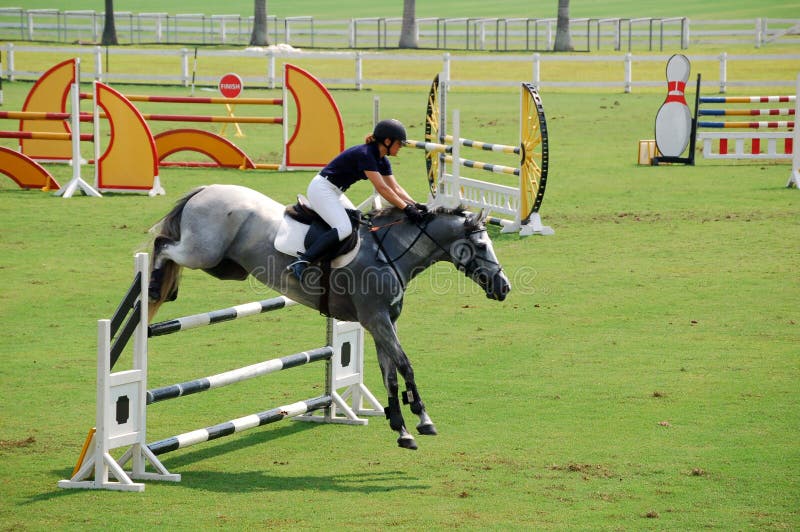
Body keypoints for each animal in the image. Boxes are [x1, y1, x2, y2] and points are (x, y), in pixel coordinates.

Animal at [147, 184, 511, 450]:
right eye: (481, 246)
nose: (503, 287)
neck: (390, 252)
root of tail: (205, 189)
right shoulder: (377, 319)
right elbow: (405, 365)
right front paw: (423, 419)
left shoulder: (381, 323)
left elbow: (391, 373)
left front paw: (401, 428)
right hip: (202, 252)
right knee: (163, 245)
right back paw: (152, 286)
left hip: (225, 267)